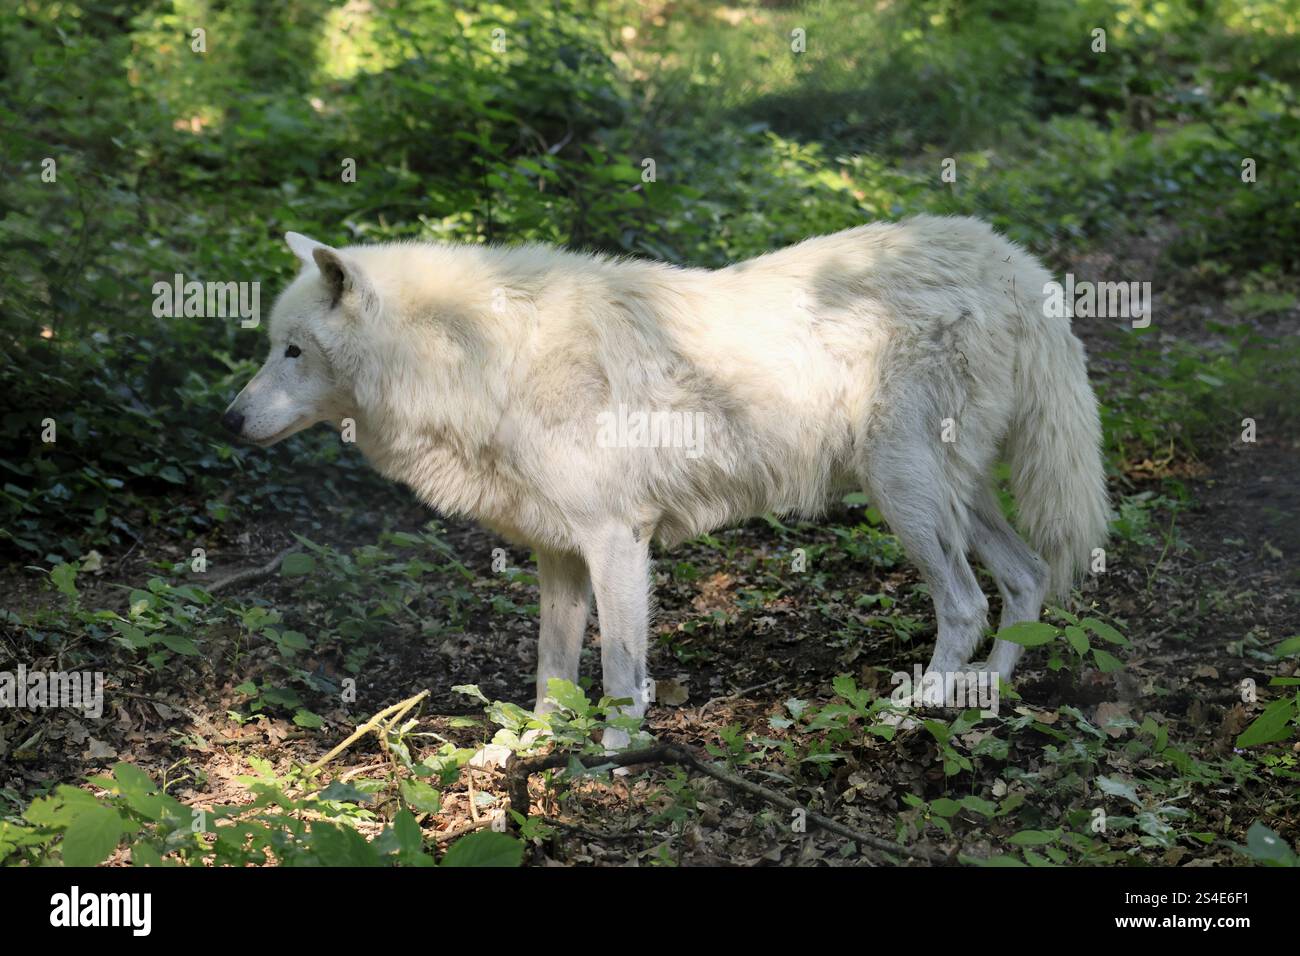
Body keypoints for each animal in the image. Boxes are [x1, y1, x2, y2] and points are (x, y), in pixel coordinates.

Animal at [222, 217, 1109, 746]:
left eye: (293, 351)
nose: (229, 420)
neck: (480, 359)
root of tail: (1009, 258)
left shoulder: (618, 540)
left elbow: (619, 672)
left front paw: (613, 758)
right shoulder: (558, 554)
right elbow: (551, 671)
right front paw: (531, 748)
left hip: (906, 494)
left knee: (965, 602)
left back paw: (913, 707)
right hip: (953, 494)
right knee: (1027, 578)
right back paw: (986, 694)